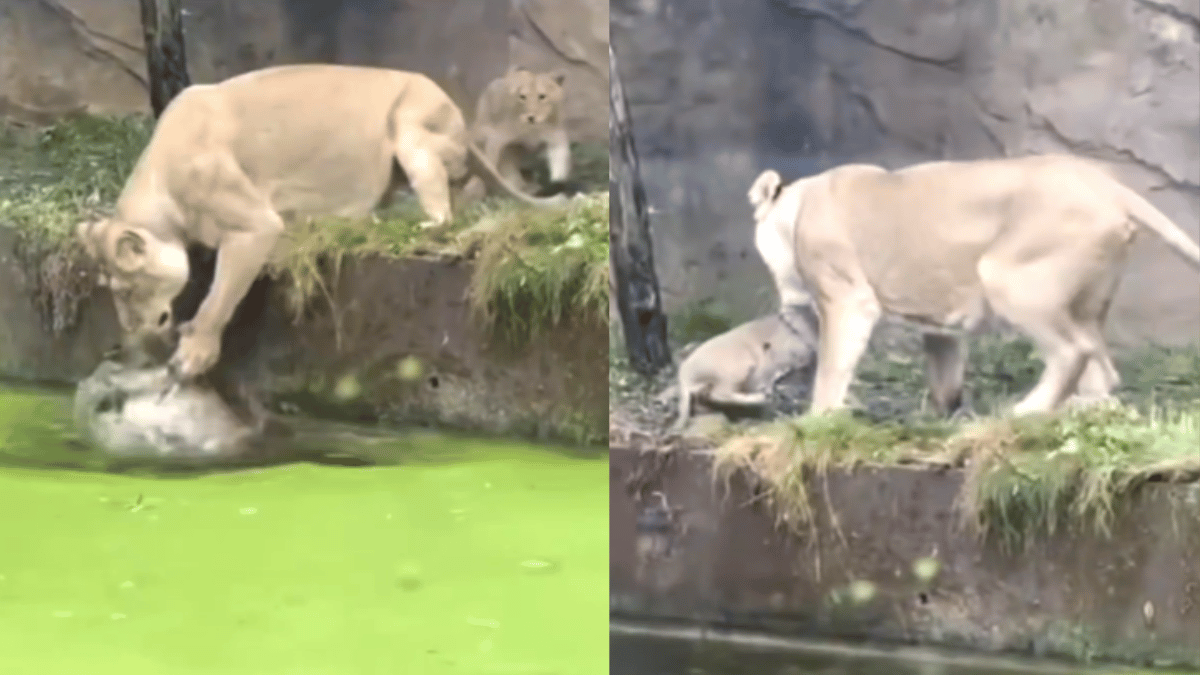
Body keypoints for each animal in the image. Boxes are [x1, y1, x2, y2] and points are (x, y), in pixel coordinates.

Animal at [459, 66, 573, 203]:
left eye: (542, 96)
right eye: (522, 97)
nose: (531, 117)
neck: (533, 129)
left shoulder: (556, 140)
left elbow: (559, 168)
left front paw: (556, 186)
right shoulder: (496, 139)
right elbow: (490, 164)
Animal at [748, 154, 1200, 418]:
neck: (797, 207)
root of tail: (1110, 187)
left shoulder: (847, 297)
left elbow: (831, 366)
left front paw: (816, 422)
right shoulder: (938, 323)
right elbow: (944, 375)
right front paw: (943, 416)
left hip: (1009, 279)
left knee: (1074, 352)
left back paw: (1027, 411)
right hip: (1086, 304)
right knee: (1103, 370)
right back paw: (1075, 411)